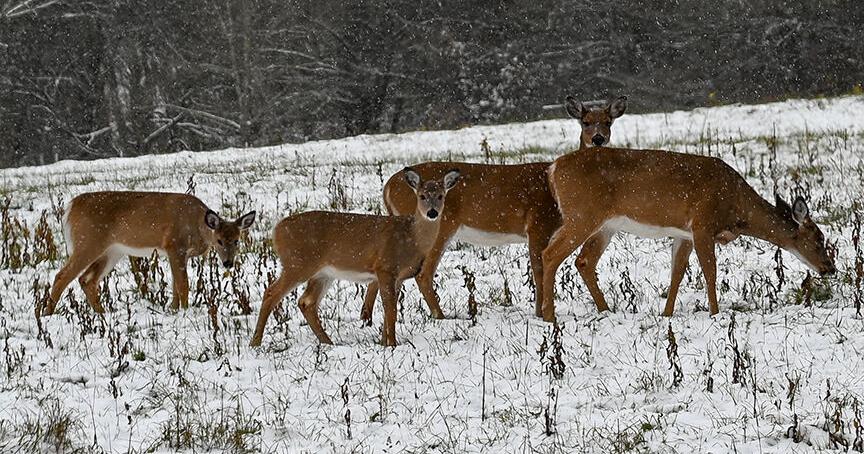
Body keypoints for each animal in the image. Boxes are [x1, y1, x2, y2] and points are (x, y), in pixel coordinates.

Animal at [45, 191, 256, 316]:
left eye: (237, 240)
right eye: (219, 241)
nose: (228, 263)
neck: (196, 224)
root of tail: (69, 208)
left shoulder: (179, 254)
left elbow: (175, 285)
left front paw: (173, 309)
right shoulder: (174, 245)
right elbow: (183, 284)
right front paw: (186, 311)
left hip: (112, 251)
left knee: (87, 280)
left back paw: (103, 312)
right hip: (87, 242)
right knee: (62, 276)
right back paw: (47, 313)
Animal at [250, 168, 461, 347]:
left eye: (441, 196)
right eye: (422, 196)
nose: (432, 212)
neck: (411, 237)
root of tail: (276, 231)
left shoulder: (399, 276)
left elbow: (389, 310)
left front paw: (384, 342)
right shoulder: (385, 267)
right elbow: (390, 310)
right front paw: (392, 344)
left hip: (323, 273)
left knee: (306, 302)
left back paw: (328, 342)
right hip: (297, 263)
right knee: (271, 293)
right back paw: (256, 342)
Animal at [359, 95, 627, 324]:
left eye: (608, 121)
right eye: (585, 121)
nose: (599, 139)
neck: (551, 188)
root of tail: (388, 186)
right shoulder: (538, 224)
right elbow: (539, 269)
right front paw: (541, 313)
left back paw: (366, 318)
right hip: (439, 226)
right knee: (423, 274)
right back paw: (441, 316)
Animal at [540, 147, 837, 322]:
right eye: (818, 239)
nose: (830, 268)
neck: (735, 205)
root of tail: (553, 169)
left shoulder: (684, 234)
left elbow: (677, 273)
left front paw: (666, 314)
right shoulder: (703, 224)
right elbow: (710, 271)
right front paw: (715, 314)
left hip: (605, 226)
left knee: (583, 261)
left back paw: (606, 311)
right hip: (582, 215)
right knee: (550, 254)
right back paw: (549, 315)